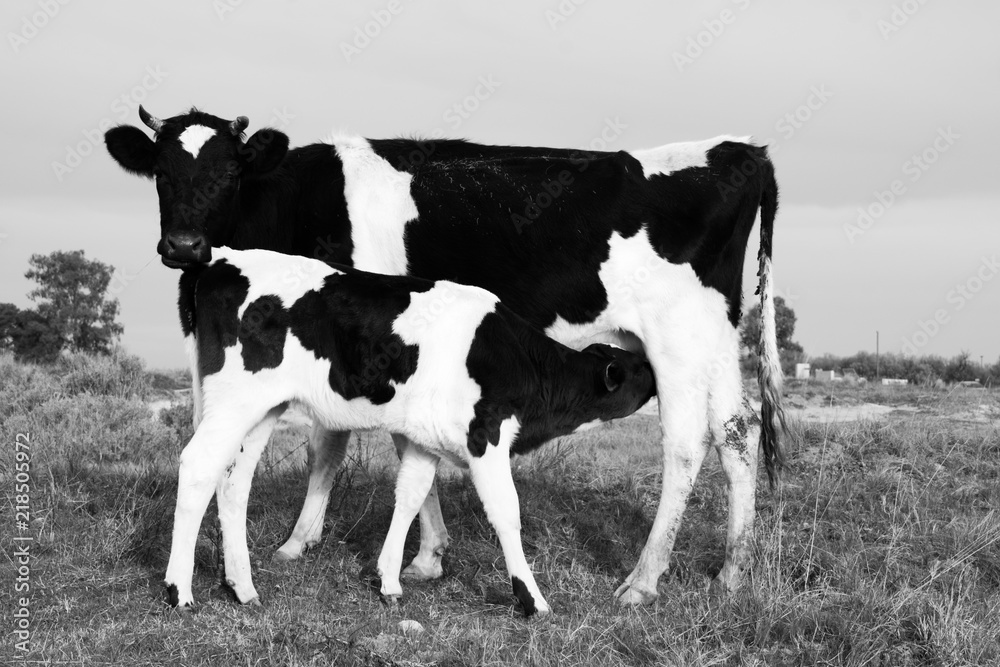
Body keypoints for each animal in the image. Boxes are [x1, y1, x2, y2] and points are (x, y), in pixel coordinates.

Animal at [167, 246, 655, 616]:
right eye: (639, 369)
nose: (657, 369)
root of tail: (219, 258)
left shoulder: (424, 438)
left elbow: (411, 495)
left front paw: (389, 581)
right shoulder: (486, 436)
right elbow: (506, 513)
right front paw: (533, 600)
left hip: (262, 409)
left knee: (234, 481)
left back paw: (242, 587)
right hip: (234, 401)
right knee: (197, 466)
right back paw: (179, 593)